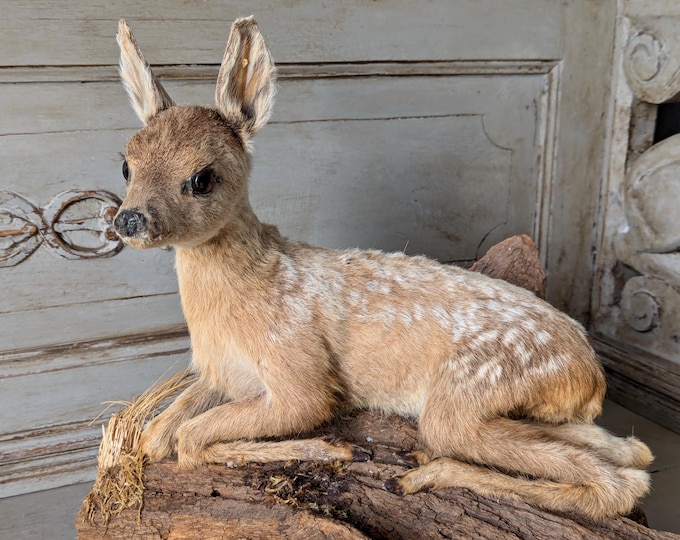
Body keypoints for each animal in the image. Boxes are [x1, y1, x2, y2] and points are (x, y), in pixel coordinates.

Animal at [112, 16, 653, 520]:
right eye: (126, 165)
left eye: (202, 178)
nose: (128, 218)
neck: (249, 285)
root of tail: (590, 374)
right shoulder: (218, 372)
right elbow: (157, 435)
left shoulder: (298, 371)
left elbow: (192, 438)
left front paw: (333, 446)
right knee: (630, 450)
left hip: (468, 395)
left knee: (616, 482)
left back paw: (421, 475)